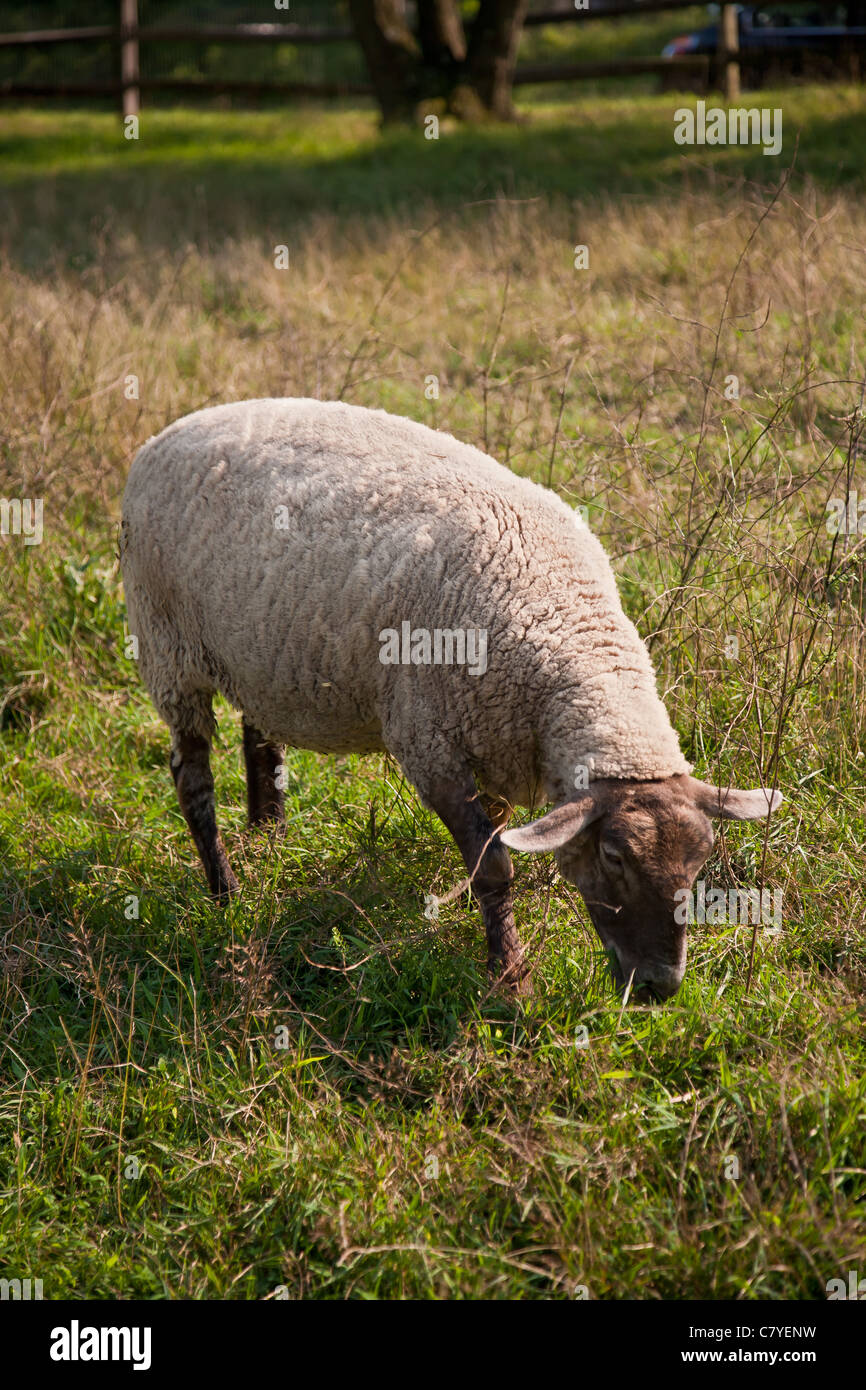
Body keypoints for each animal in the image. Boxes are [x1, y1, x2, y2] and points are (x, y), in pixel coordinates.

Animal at [120, 398, 783, 1001]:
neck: (563, 621)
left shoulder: (498, 740)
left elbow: (497, 836)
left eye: (701, 861)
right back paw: (225, 892)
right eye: (615, 856)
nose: (660, 986)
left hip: (255, 653)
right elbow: (494, 865)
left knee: (259, 736)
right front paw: (510, 978)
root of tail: (168, 432)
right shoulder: (428, 744)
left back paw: (269, 836)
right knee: (192, 777)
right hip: (167, 648)